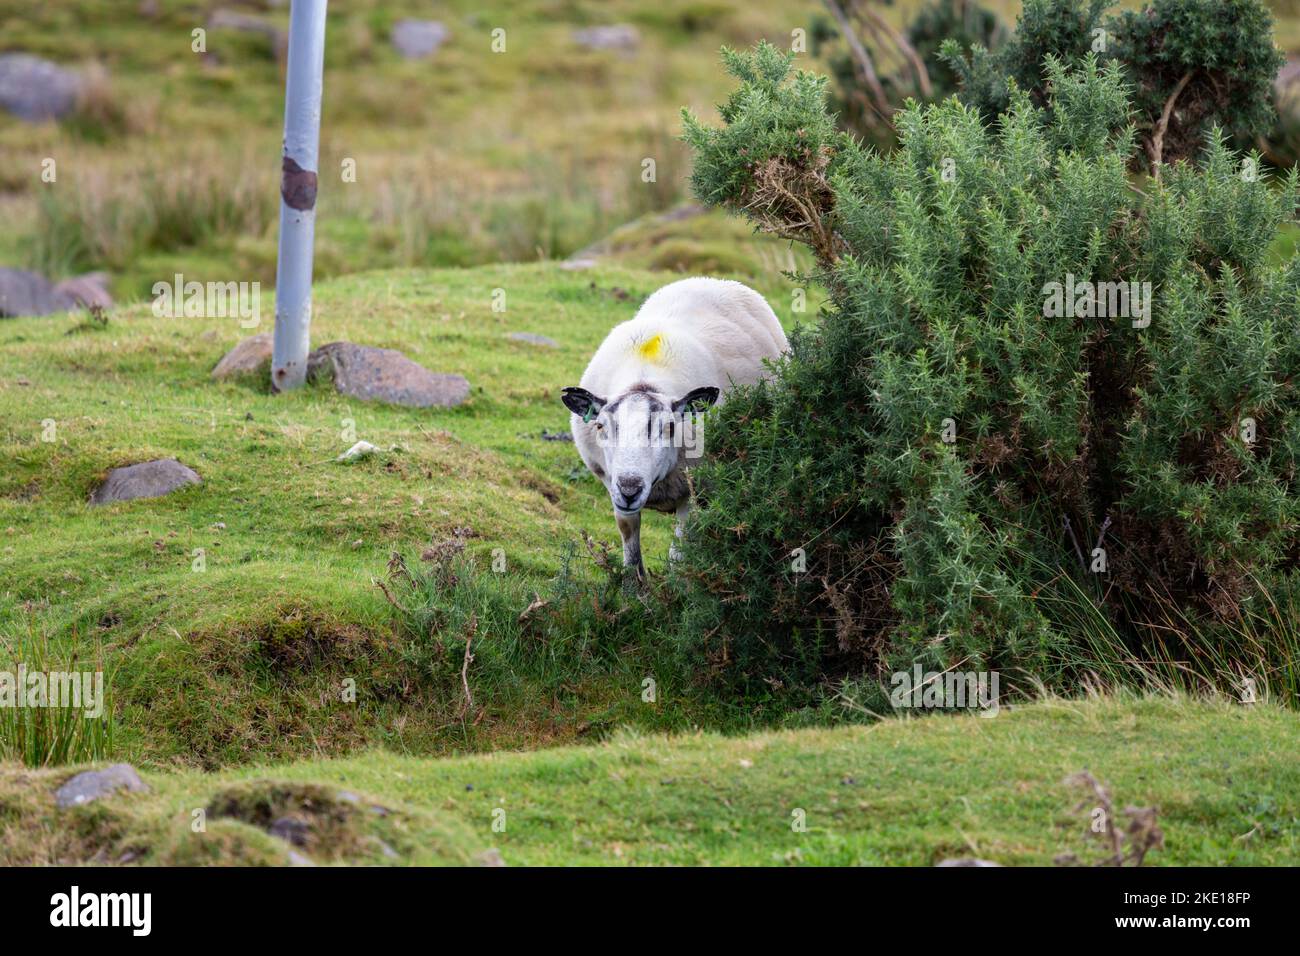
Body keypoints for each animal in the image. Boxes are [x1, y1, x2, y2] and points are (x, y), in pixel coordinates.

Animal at [561, 277, 790, 579]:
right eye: (601, 426)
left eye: (670, 427)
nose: (630, 489)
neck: (644, 379)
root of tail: (716, 281)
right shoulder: (612, 484)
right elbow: (629, 537)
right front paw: (634, 586)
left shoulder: (696, 489)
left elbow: (679, 552)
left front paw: (676, 586)